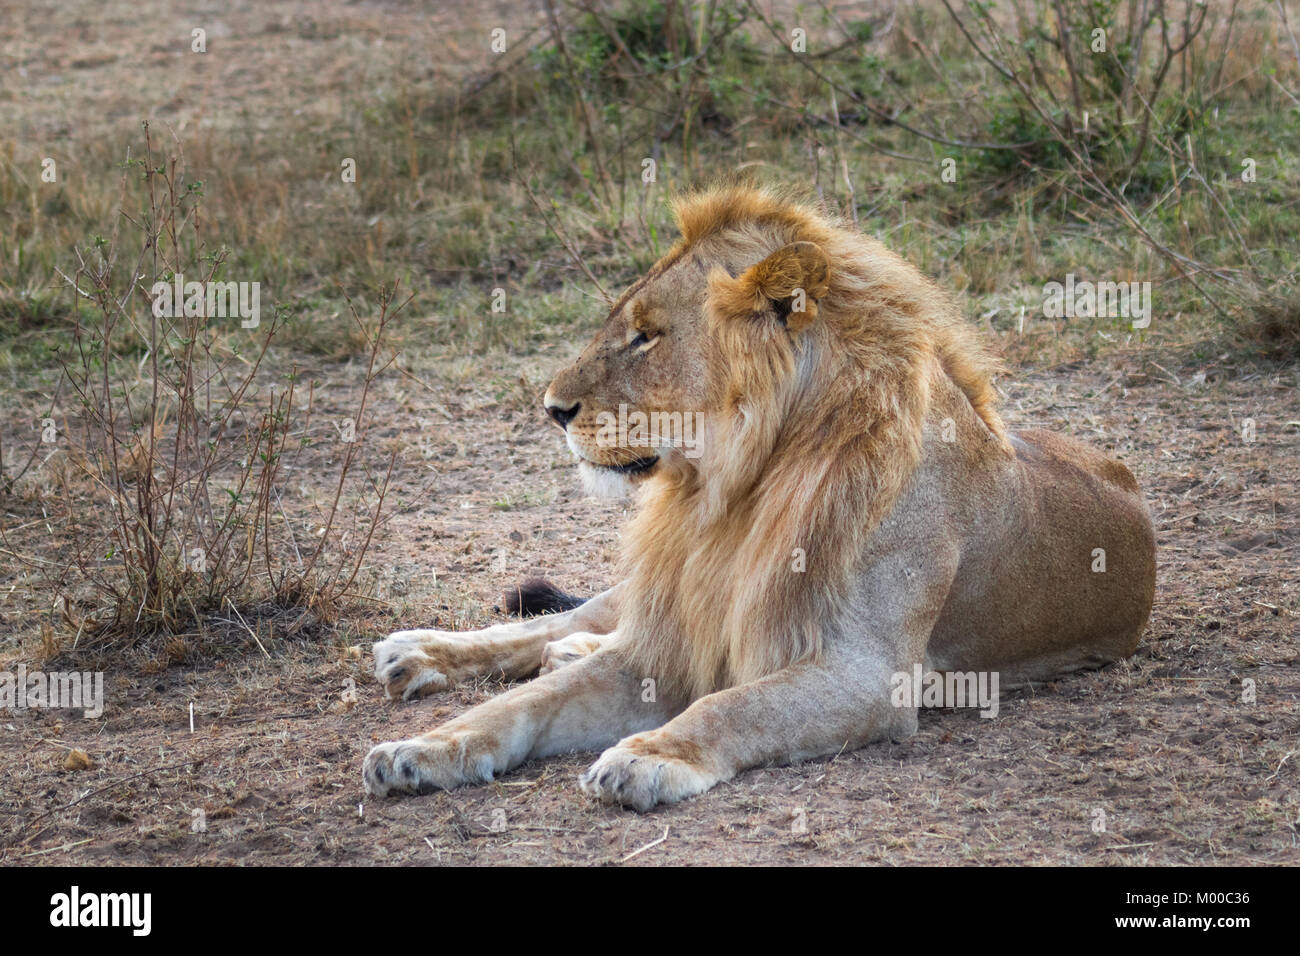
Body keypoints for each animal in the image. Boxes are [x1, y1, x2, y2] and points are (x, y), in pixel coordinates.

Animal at [363, 184, 1156, 811]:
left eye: (646, 337)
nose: (552, 410)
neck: (735, 493)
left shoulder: (867, 675)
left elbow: (729, 705)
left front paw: (647, 755)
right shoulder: (668, 637)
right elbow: (522, 702)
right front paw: (425, 749)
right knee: (569, 621)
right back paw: (420, 651)